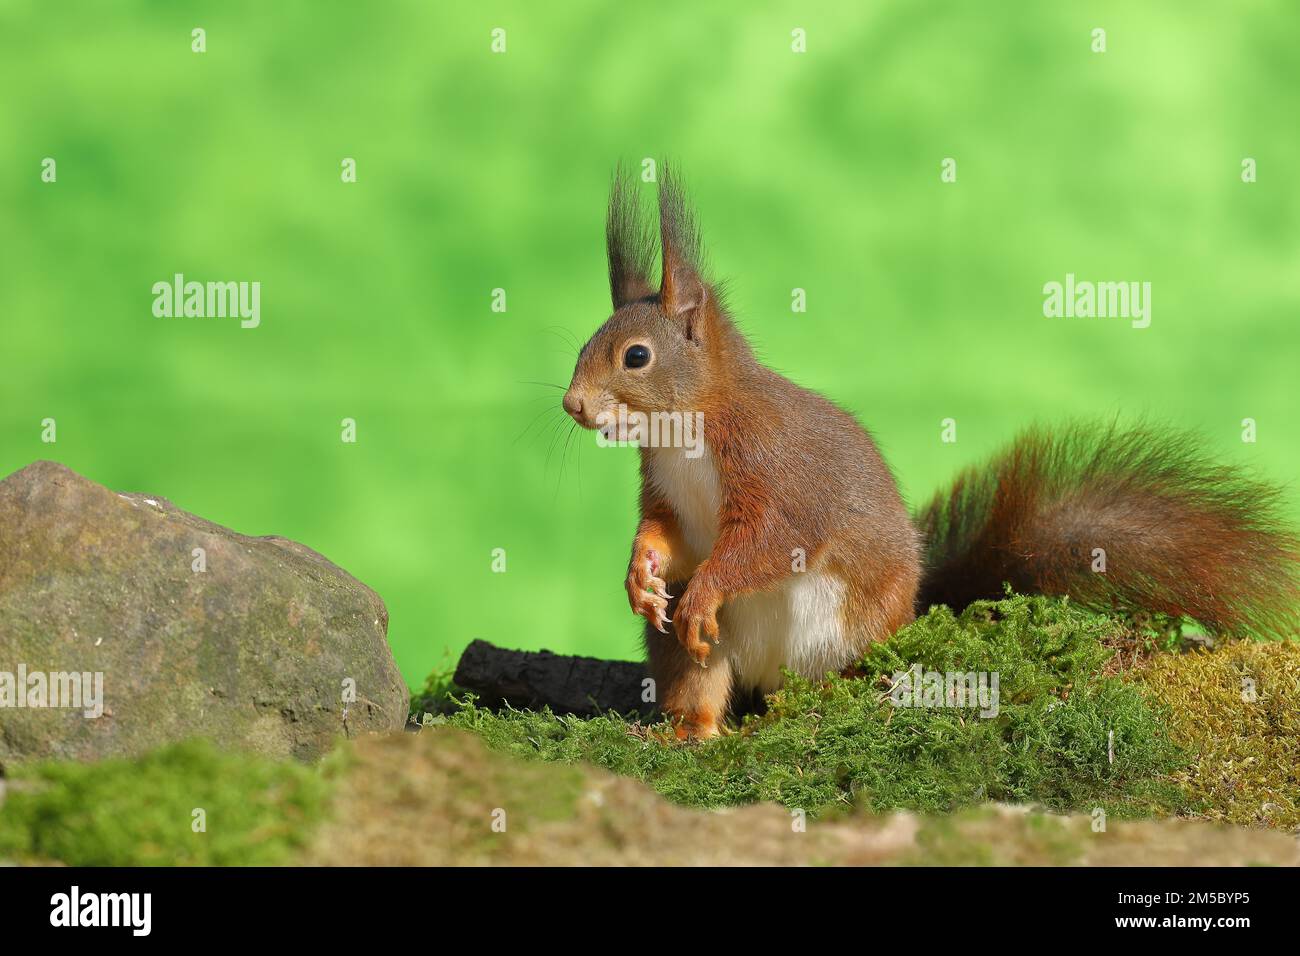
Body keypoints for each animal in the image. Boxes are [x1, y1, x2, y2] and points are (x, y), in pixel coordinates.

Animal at [561, 168, 1300, 740]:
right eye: (586, 343)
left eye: (635, 357)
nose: (573, 405)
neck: (687, 427)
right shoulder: (667, 490)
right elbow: (670, 537)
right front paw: (641, 571)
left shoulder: (776, 472)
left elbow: (764, 542)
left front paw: (706, 587)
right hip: (699, 657)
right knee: (702, 683)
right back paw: (694, 731)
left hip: (843, 633)